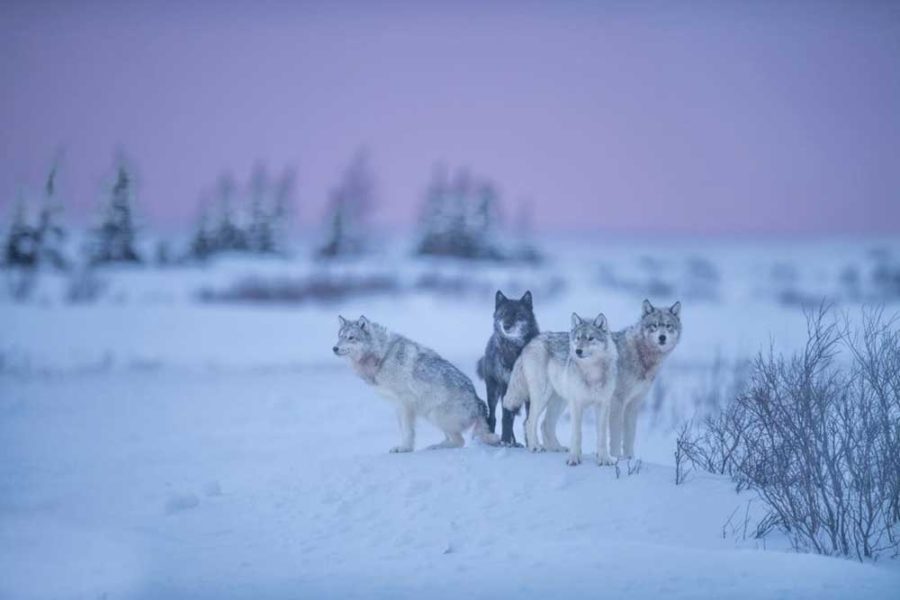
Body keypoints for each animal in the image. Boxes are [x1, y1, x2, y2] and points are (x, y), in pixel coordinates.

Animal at [333, 315, 499, 452]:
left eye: (351, 337)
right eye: (339, 337)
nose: (334, 348)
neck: (381, 357)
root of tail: (479, 404)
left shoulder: (405, 403)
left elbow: (407, 431)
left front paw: (405, 448)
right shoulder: (397, 406)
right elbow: (402, 429)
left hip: (434, 414)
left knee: (460, 441)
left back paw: (434, 447)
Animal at [476, 290, 540, 446]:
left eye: (517, 314)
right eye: (504, 314)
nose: (506, 325)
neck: (515, 350)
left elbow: (529, 419)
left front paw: (531, 444)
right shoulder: (508, 387)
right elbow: (506, 418)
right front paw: (505, 442)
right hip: (494, 392)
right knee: (493, 417)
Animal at [503, 313, 619, 466]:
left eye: (590, 338)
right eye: (577, 338)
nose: (578, 351)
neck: (592, 373)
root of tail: (530, 343)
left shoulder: (603, 405)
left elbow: (602, 436)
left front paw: (605, 459)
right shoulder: (576, 404)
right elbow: (577, 434)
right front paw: (574, 459)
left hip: (559, 402)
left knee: (545, 424)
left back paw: (556, 448)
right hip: (543, 397)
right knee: (529, 422)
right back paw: (535, 447)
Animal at [608, 299, 682, 459]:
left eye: (668, 326)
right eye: (654, 325)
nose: (662, 337)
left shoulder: (633, 404)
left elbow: (630, 436)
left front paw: (629, 459)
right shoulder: (617, 402)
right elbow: (616, 436)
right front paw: (616, 457)